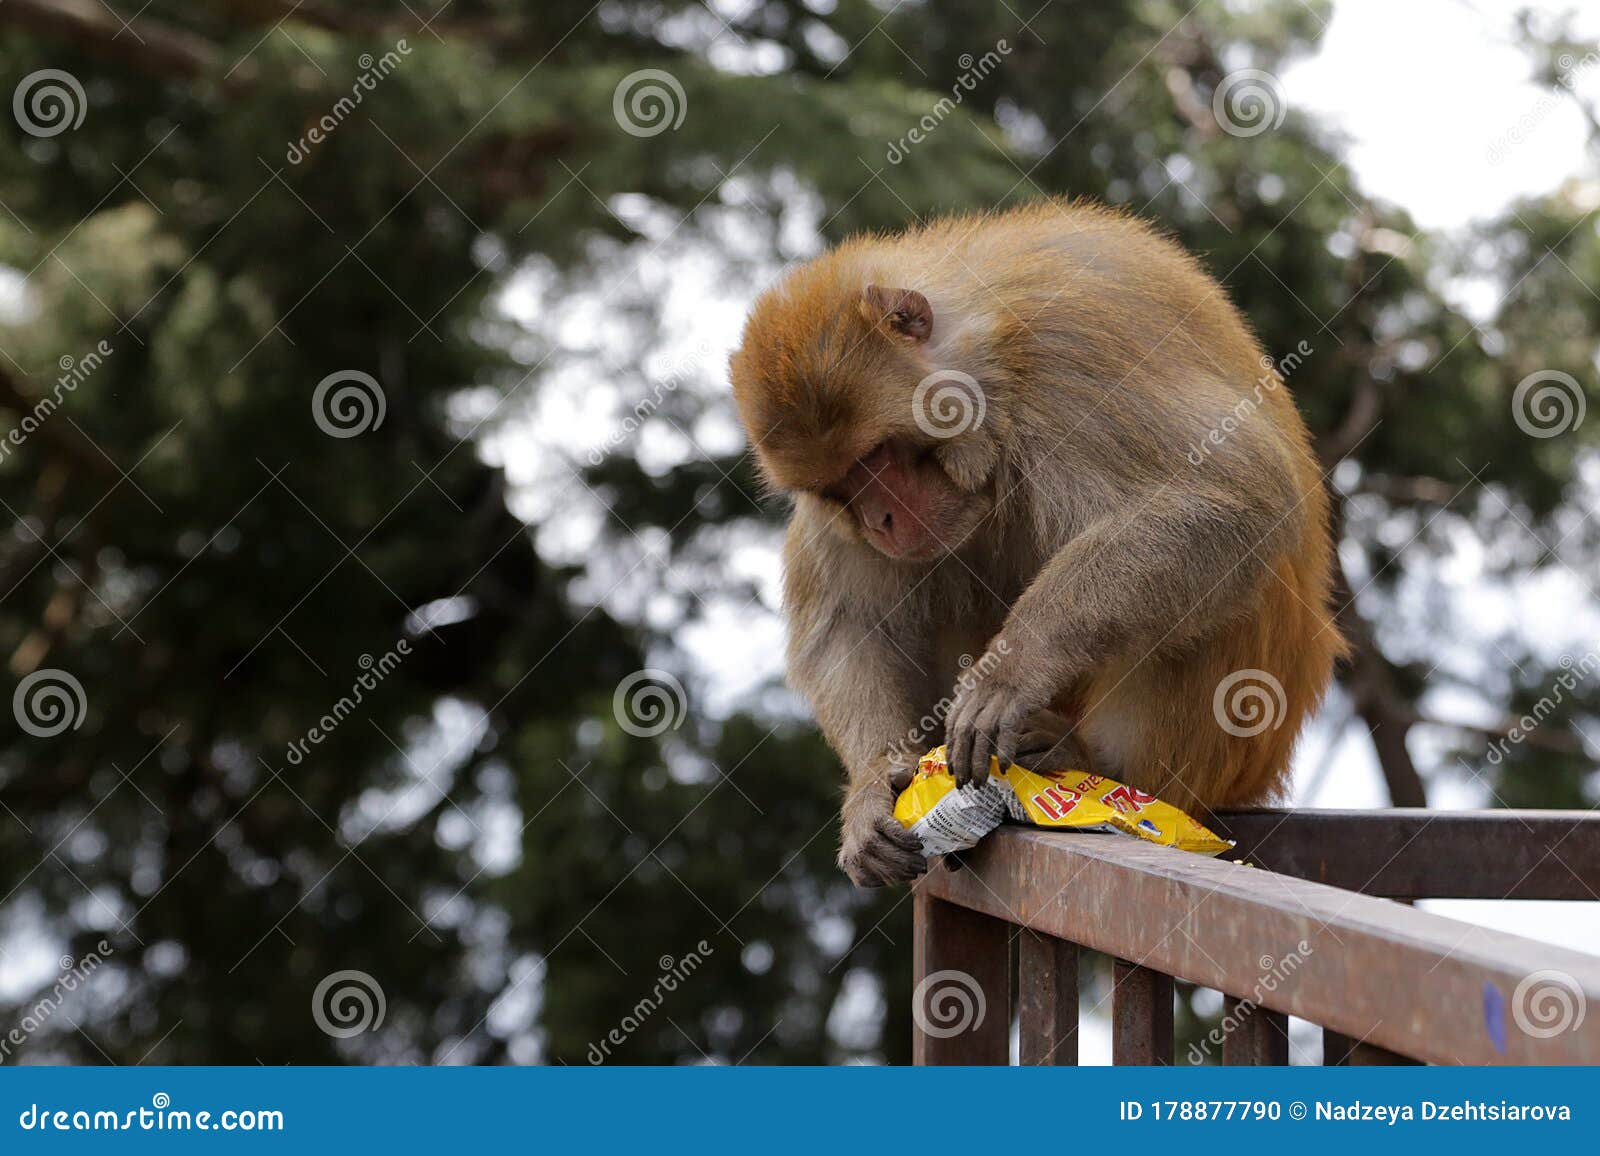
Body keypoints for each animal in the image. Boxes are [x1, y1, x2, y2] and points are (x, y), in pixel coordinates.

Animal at [728, 200, 1345, 887]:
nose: (882, 519)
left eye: (878, 455)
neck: (992, 365)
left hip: (1221, 754)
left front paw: (1013, 669)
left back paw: (1091, 759)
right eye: (839, 485)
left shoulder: (1070, 357)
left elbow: (1230, 497)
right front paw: (871, 787)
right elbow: (851, 626)